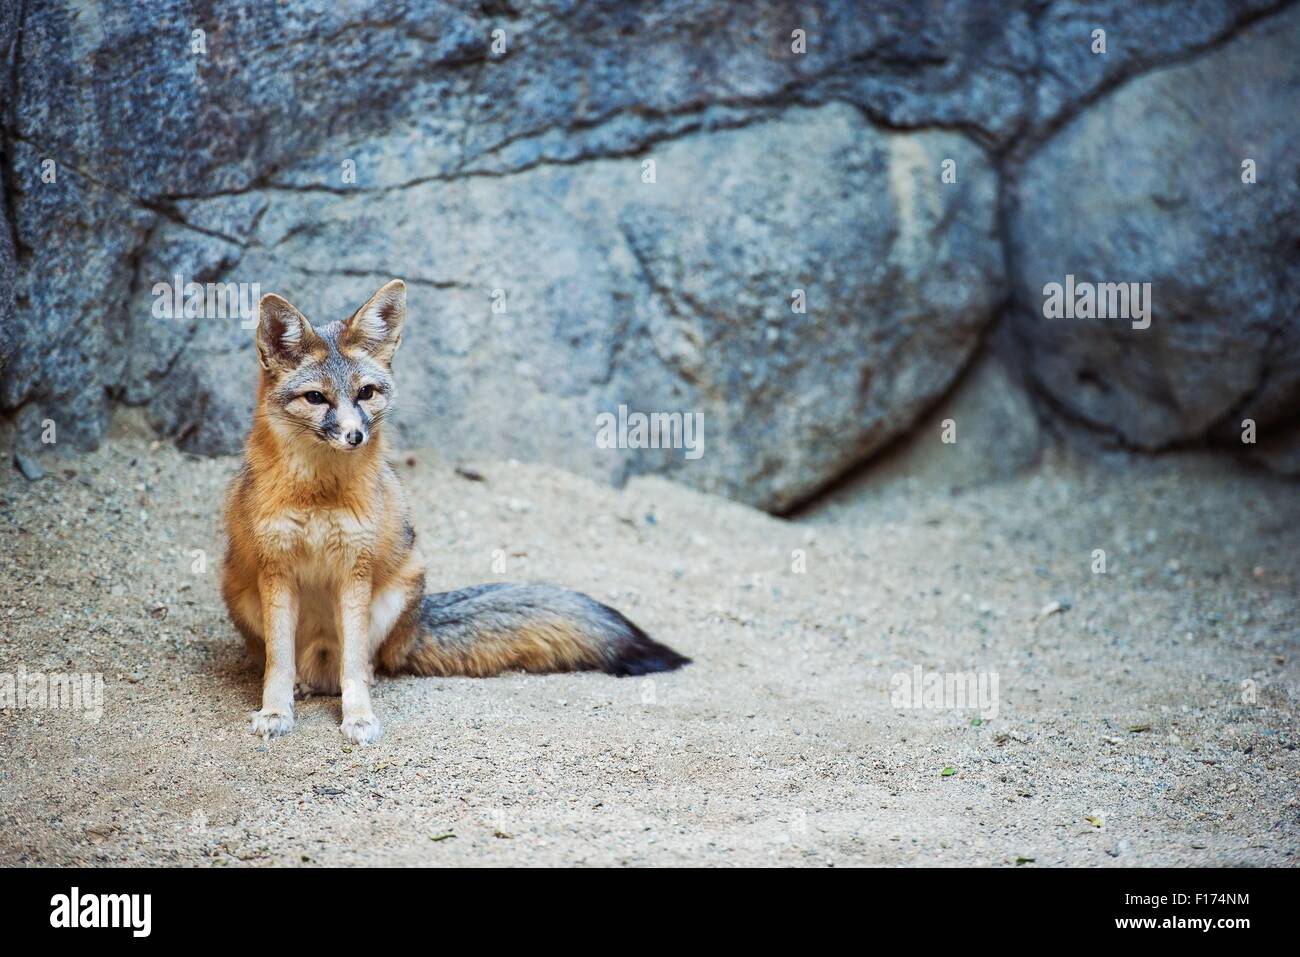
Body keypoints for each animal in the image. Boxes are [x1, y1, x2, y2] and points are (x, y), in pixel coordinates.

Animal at [221, 279, 690, 744]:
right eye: (316, 398)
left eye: (365, 393)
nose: (355, 436)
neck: (319, 494)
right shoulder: (276, 570)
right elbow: (279, 663)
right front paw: (275, 712)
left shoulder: (355, 571)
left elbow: (352, 665)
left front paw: (358, 718)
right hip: (242, 594)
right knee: (296, 665)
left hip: (394, 593)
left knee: (362, 666)